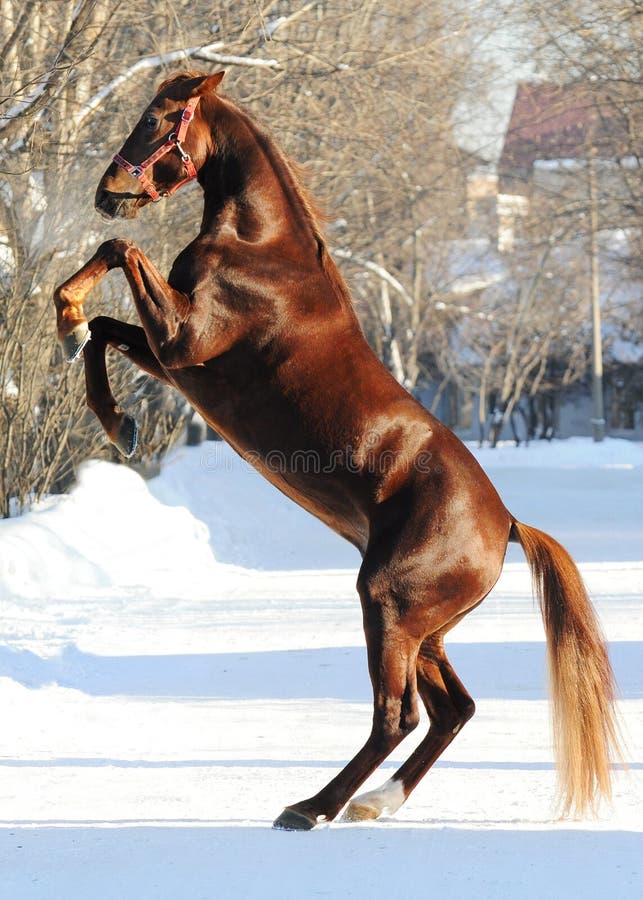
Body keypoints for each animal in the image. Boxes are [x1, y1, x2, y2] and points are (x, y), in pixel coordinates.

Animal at [53, 71, 619, 829]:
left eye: (157, 118)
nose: (108, 189)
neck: (262, 249)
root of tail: (506, 525)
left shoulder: (183, 341)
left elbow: (119, 252)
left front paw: (69, 323)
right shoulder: (174, 359)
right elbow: (103, 331)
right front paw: (117, 419)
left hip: (386, 607)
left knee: (397, 715)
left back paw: (311, 807)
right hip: (423, 630)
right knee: (452, 710)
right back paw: (374, 803)